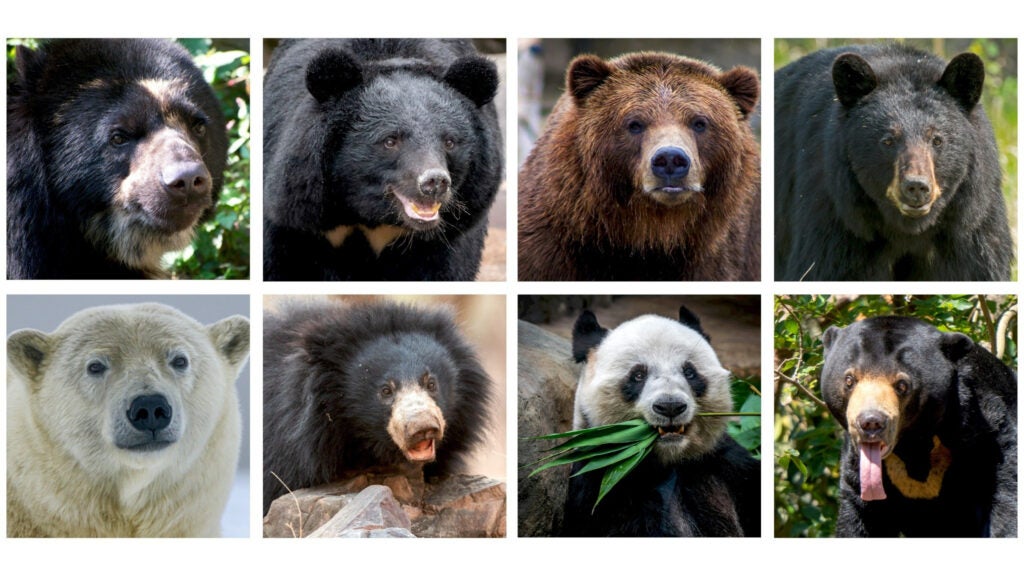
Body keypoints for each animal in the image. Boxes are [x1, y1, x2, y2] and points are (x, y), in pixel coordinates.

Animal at [262, 38, 503, 281]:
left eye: (450, 142)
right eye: (390, 141)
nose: (435, 182)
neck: (373, 218)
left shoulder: (446, 235)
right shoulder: (297, 212)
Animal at [564, 307, 760, 536]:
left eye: (689, 372)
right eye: (638, 375)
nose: (670, 406)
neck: (668, 460)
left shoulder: (726, 465)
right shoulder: (603, 481)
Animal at [775, 44, 1013, 281]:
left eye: (937, 139)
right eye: (888, 140)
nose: (916, 186)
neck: (908, 229)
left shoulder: (969, 227)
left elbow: (976, 269)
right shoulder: (838, 215)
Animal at [820, 316, 1017, 537]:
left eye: (902, 385)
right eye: (849, 380)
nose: (870, 422)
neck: (913, 444)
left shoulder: (988, 434)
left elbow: (1005, 499)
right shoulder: (856, 465)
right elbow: (858, 515)